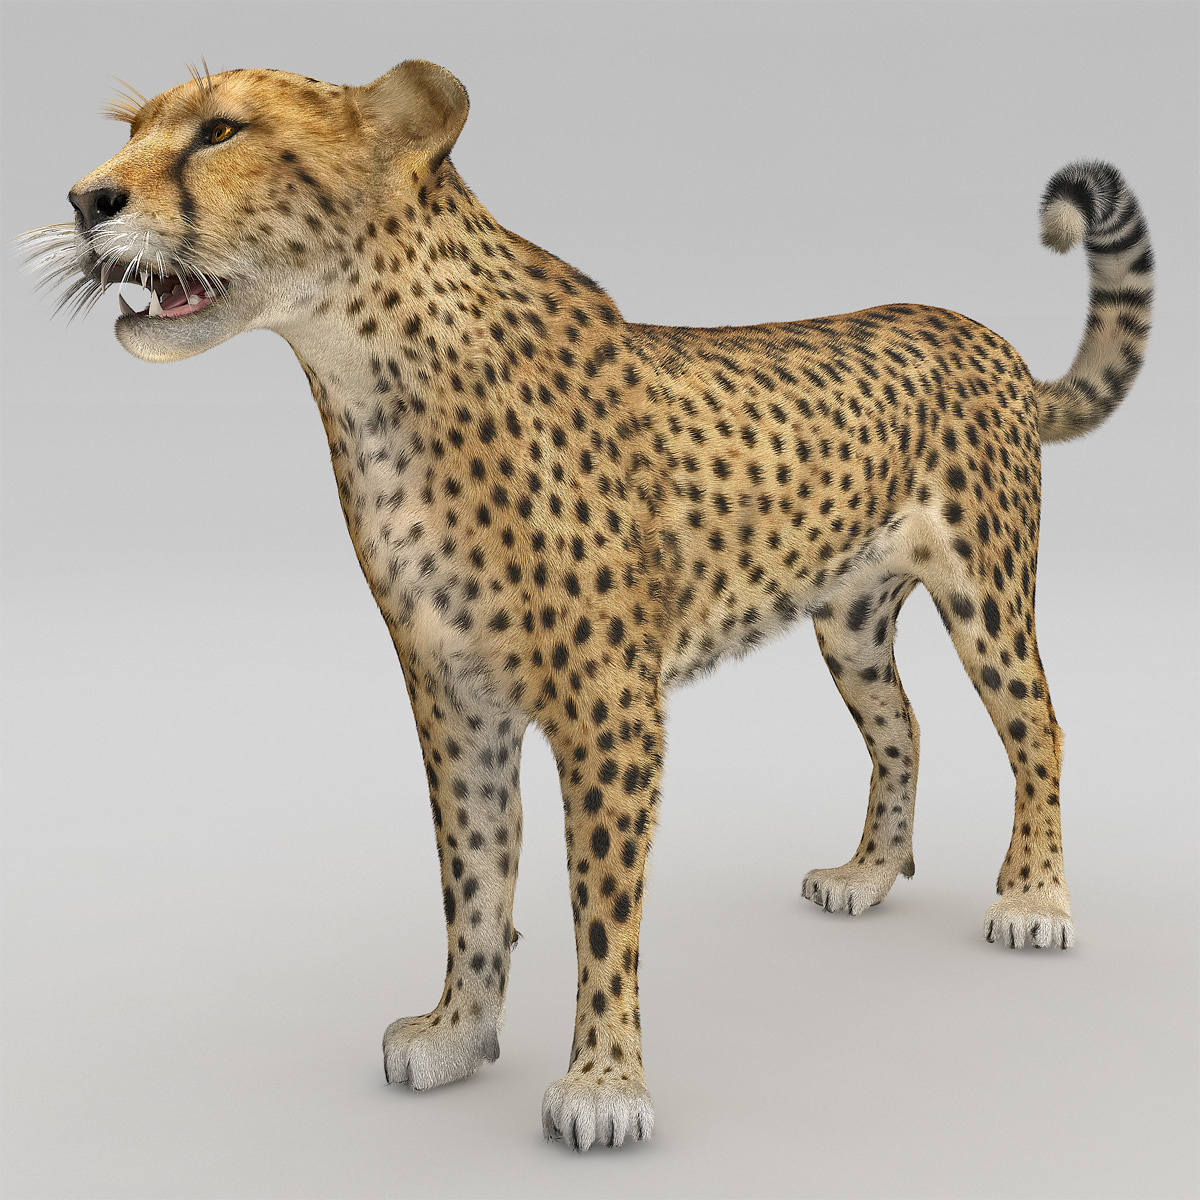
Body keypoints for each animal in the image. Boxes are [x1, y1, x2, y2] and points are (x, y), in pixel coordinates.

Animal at [23, 60, 1153, 1151]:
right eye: (134, 128)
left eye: (222, 131)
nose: (85, 199)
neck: (371, 373)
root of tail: (982, 333)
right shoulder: (454, 693)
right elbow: (473, 871)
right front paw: (458, 1031)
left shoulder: (611, 708)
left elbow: (599, 908)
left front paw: (604, 1089)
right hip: (851, 618)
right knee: (903, 726)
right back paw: (870, 875)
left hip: (987, 590)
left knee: (1039, 727)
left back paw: (1033, 897)